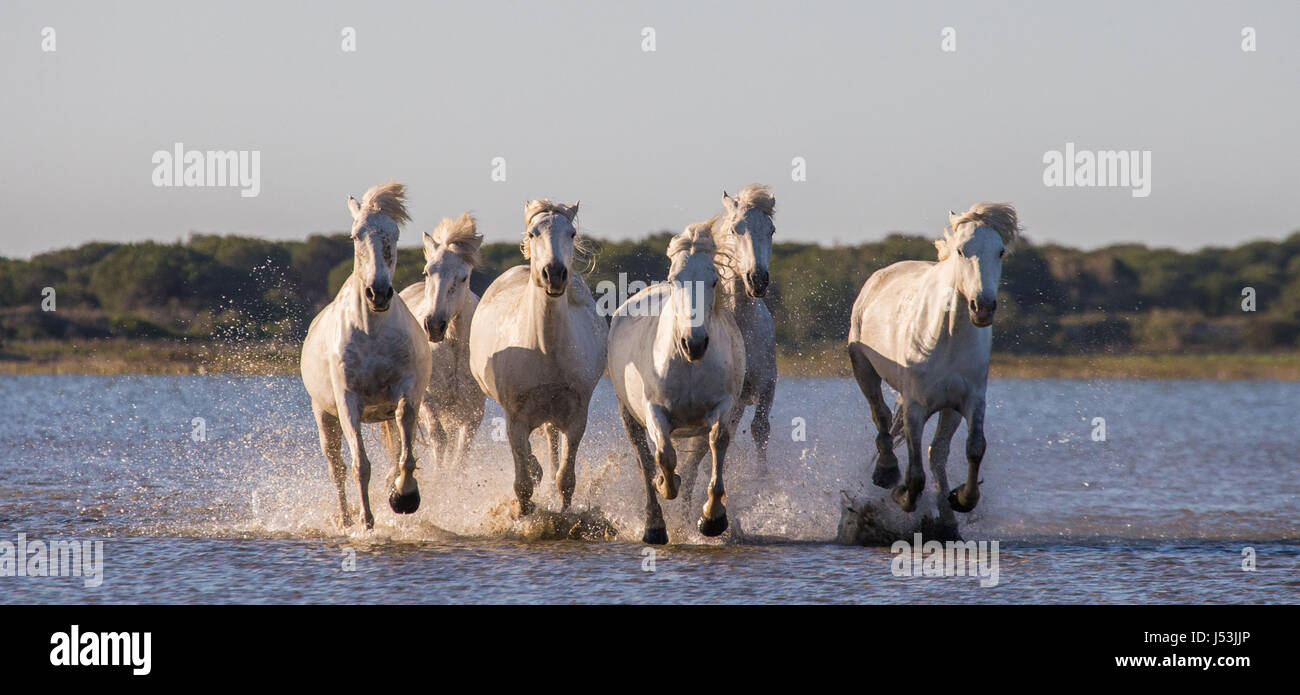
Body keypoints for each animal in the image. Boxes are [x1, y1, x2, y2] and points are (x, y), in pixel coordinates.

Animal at [300, 181, 432, 530]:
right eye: (355, 235)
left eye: (395, 235)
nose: (379, 293)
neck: (371, 329)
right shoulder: (348, 402)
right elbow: (360, 464)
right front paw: (367, 522)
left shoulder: (406, 390)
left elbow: (405, 452)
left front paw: (404, 497)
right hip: (324, 415)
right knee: (336, 468)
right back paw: (346, 519)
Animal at [398, 211, 486, 471]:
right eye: (427, 272)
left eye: (464, 277)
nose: (434, 326)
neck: (454, 348)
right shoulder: (429, 402)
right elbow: (440, 441)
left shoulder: (473, 411)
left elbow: (460, 453)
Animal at [468, 200, 607, 517]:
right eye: (533, 233)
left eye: (571, 233)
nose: (553, 274)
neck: (545, 349)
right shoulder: (515, 418)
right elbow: (523, 481)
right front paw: (524, 512)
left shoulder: (576, 417)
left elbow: (565, 479)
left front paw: (564, 514)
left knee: (552, 444)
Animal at [608, 223, 745, 544]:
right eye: (675, 280)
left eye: (713, 281)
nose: (693, 343)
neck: (689, 365)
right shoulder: (655, 411)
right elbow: (663, 456)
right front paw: (666, 483)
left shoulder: (723, 407)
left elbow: (717, 442)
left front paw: (712, 518)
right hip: (628, 415)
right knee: (643, 459)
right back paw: (655, 526)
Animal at [847, 202, 1021, 535]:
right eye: (962, 251)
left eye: (1001, 251)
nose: (983, 308)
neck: (948, 336)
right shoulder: (916, 405)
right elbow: (915, 473)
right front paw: (901, 494)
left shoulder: (969, 401)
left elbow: (974, 448)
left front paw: (962, 499)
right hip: (864, 369)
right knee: (881, 416)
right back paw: (886, 472)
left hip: (947, 408)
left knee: (937, 453)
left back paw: (948, 523)